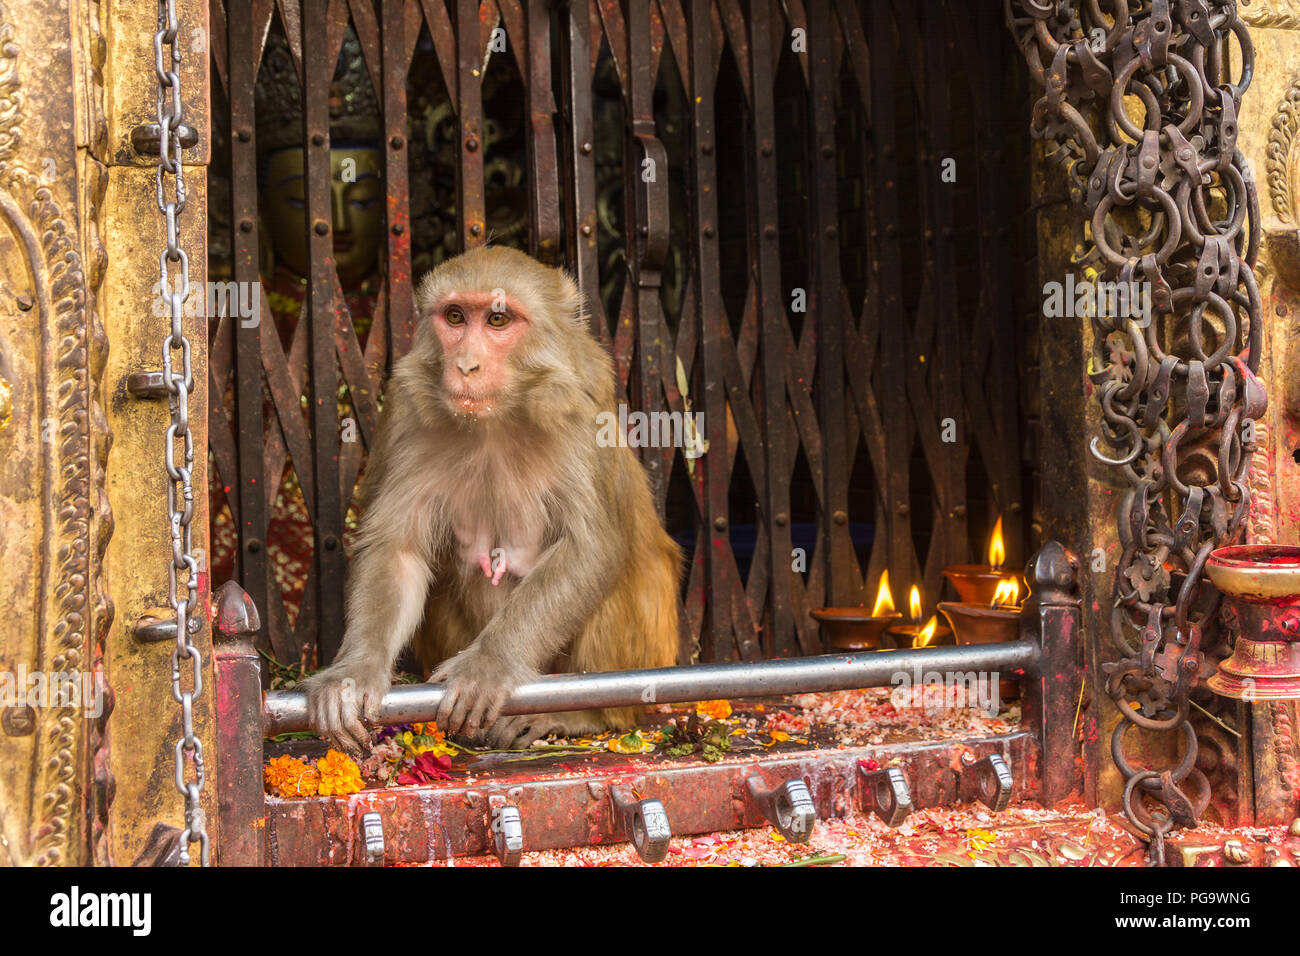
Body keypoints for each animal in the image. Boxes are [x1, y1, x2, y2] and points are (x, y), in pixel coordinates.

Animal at [302, 246, 682, 753]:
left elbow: (591, 548)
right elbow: (398, 551)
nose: (465, 365)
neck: (497, 417)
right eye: (455, 317)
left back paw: (583, 713)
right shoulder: (406, 407)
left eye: (498, 320)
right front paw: (354, 672)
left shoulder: (578, 405)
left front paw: (488, 664)